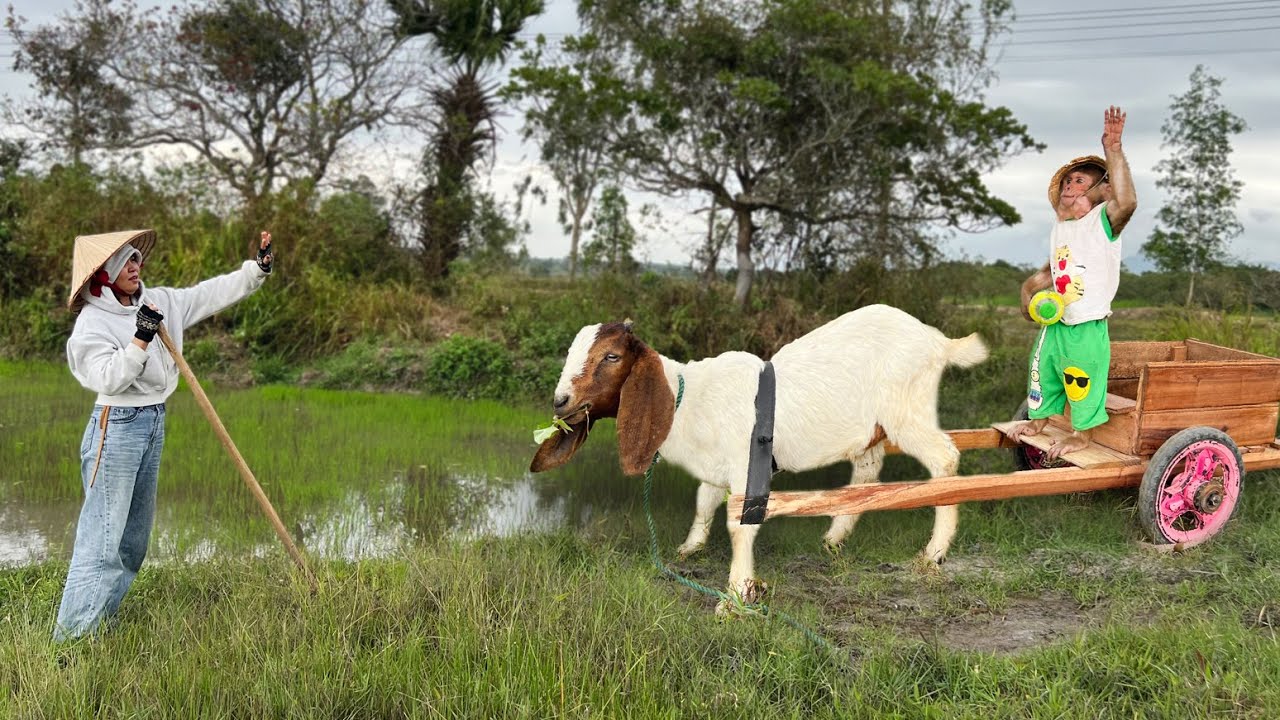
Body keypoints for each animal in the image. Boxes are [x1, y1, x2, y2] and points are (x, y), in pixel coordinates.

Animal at [530, 304, 988, 607]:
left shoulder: (746, 465)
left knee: (944, 458)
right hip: (871, 430)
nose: (560, 401)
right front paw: (689, 548)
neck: (686, 400)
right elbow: (703, 503)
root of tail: (939, 342)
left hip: (906, 412)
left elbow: (740, 525)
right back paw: (835, 538)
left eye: (612, 356)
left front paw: (735, 594)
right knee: (867, 471)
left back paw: (934, 553)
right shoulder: (715, 469)